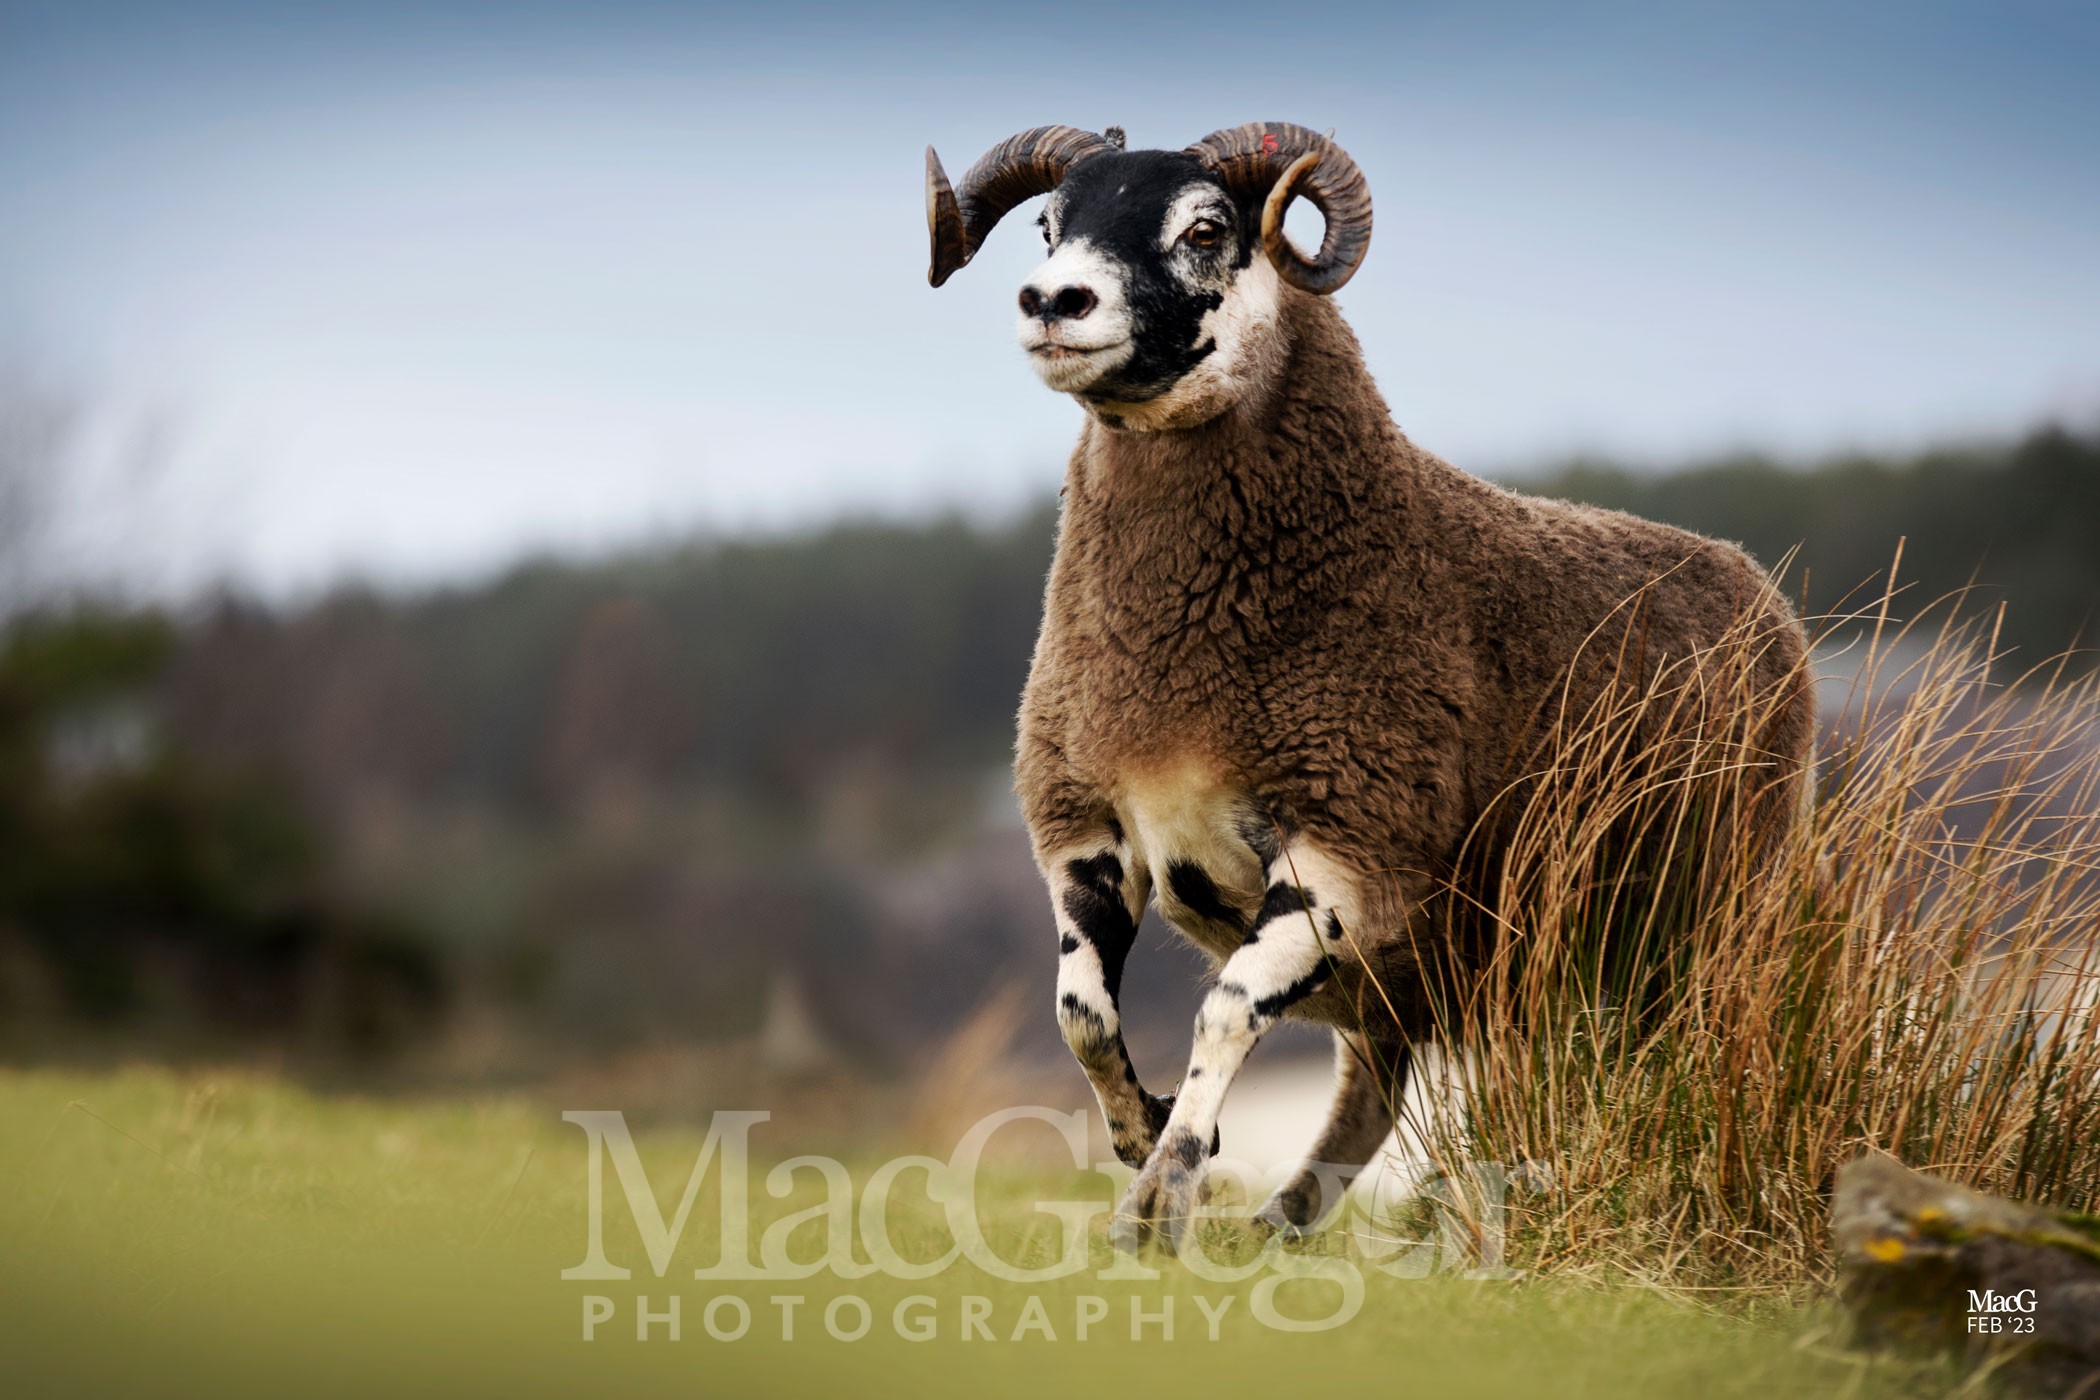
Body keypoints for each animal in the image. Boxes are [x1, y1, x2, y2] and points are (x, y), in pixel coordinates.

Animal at [924, 121, 1815, 1246]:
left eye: (1205, 229)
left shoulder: (1348, 842)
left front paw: (1165, 1197)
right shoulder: (1086, 825)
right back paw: (1280, 1225)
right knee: (1370, 1087)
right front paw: (1145, 1141)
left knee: (1680, 1059)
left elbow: (1223, 1009)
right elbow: (1079, 1014)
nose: (1053, 301)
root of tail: (1756, 582)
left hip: (1703, 919)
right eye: (1048, 224)